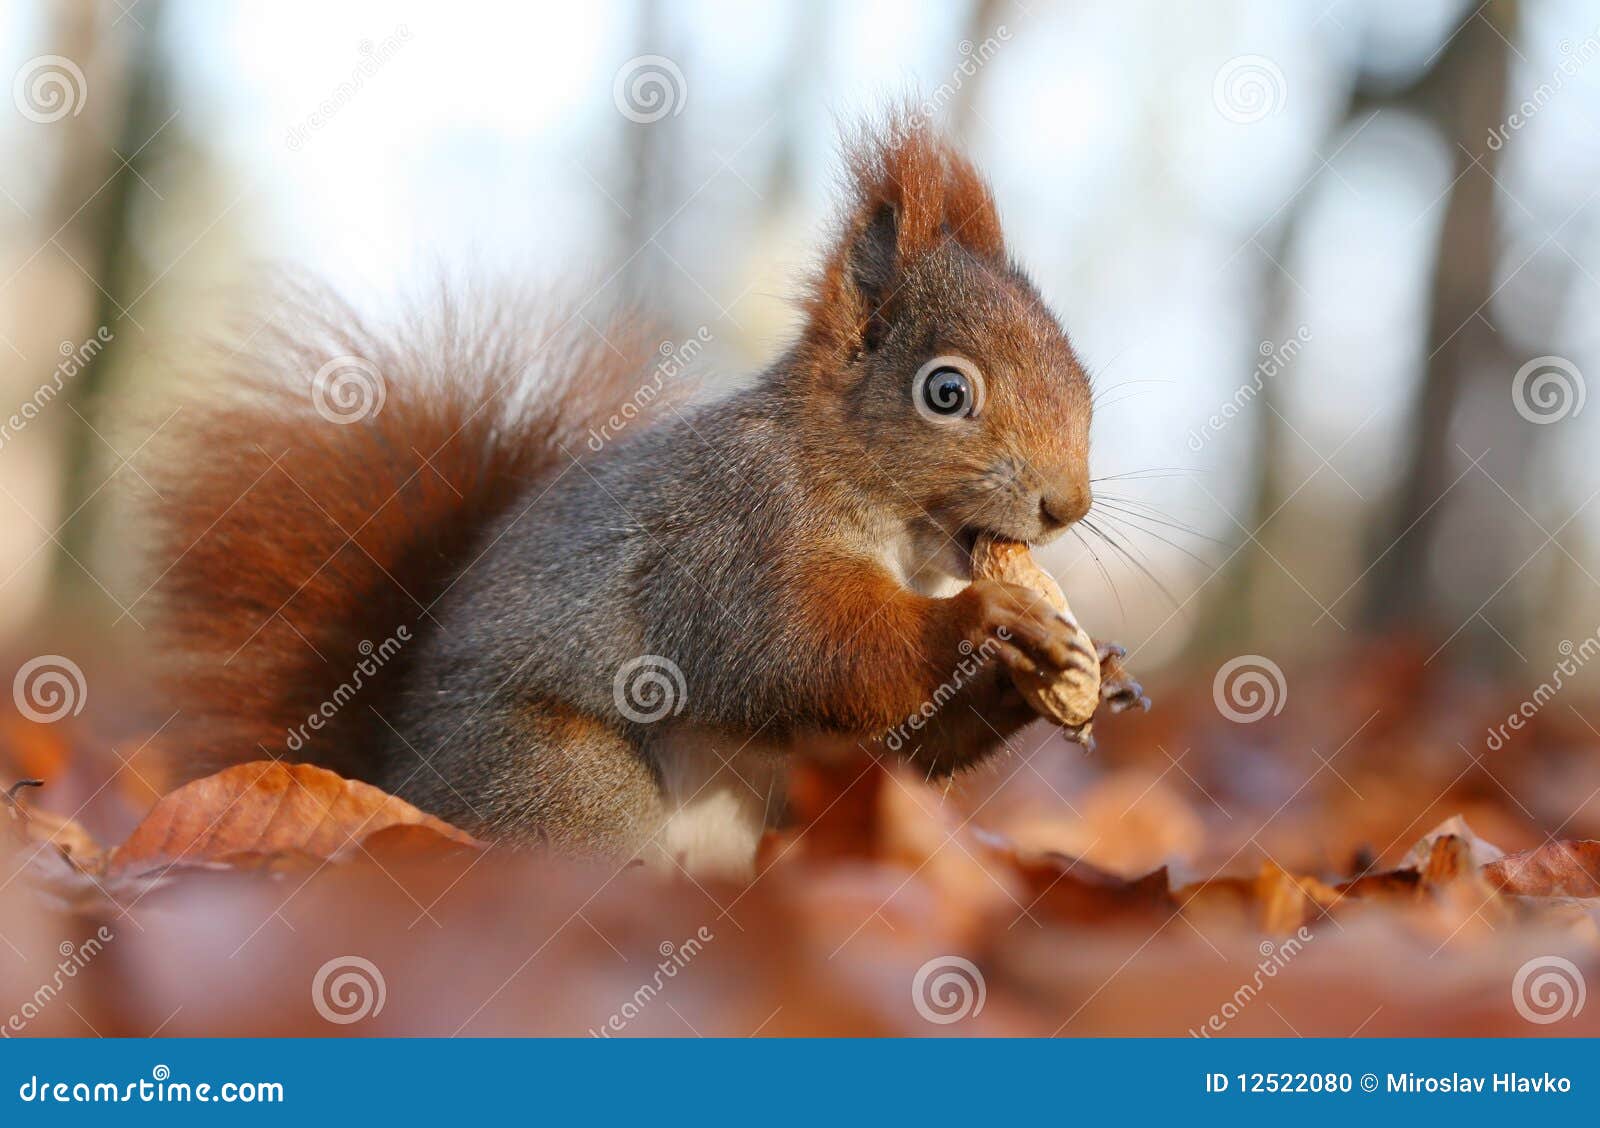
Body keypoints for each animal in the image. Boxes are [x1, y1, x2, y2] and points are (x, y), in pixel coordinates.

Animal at [147, 112, 1144, 878]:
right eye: (945, 391)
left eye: (1083, 375)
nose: (1068, 506)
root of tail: (393, 782)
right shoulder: (730, 535)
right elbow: (808, 652)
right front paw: (992, 620)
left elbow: (893, 741)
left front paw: (1076, 673)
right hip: (568, 784)